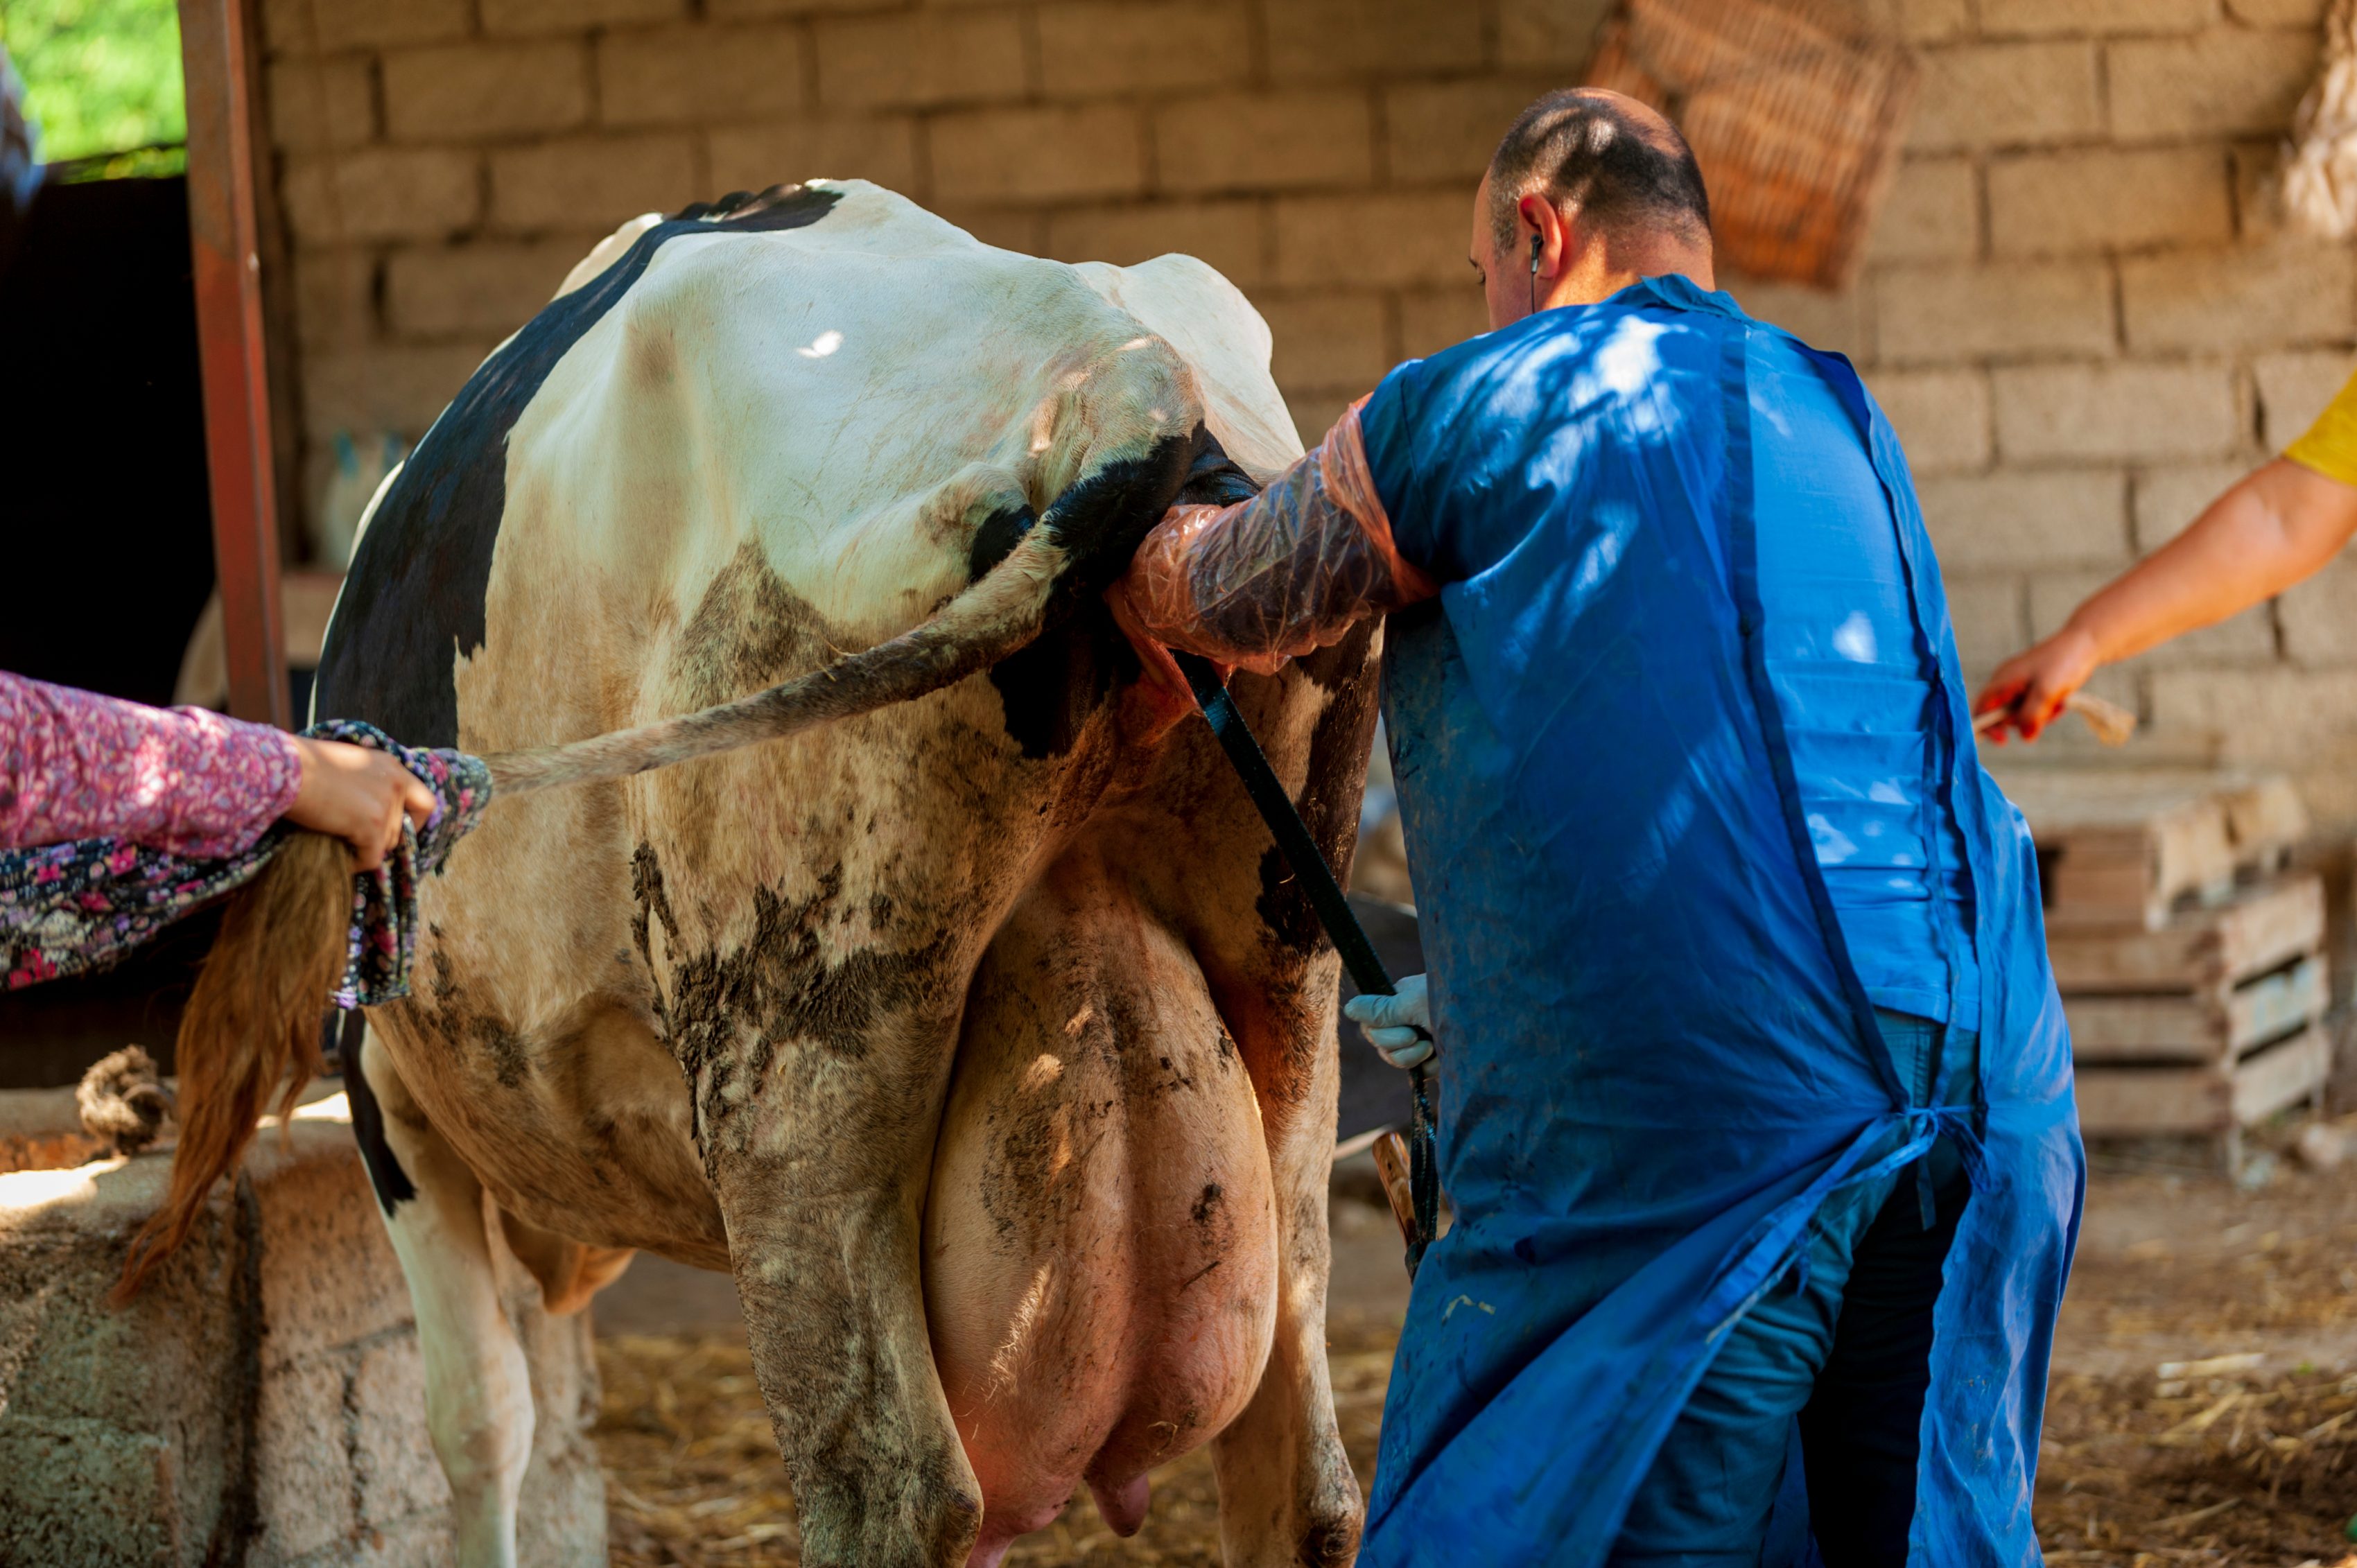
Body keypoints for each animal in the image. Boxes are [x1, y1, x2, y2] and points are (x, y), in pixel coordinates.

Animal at [291, 180, 1378, 1568]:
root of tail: (1112, 371)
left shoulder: (383, 1085)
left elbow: (480, 1419)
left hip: (793, 1062)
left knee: (891, 1488)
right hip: (1289, 989)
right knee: (1302, 1473)